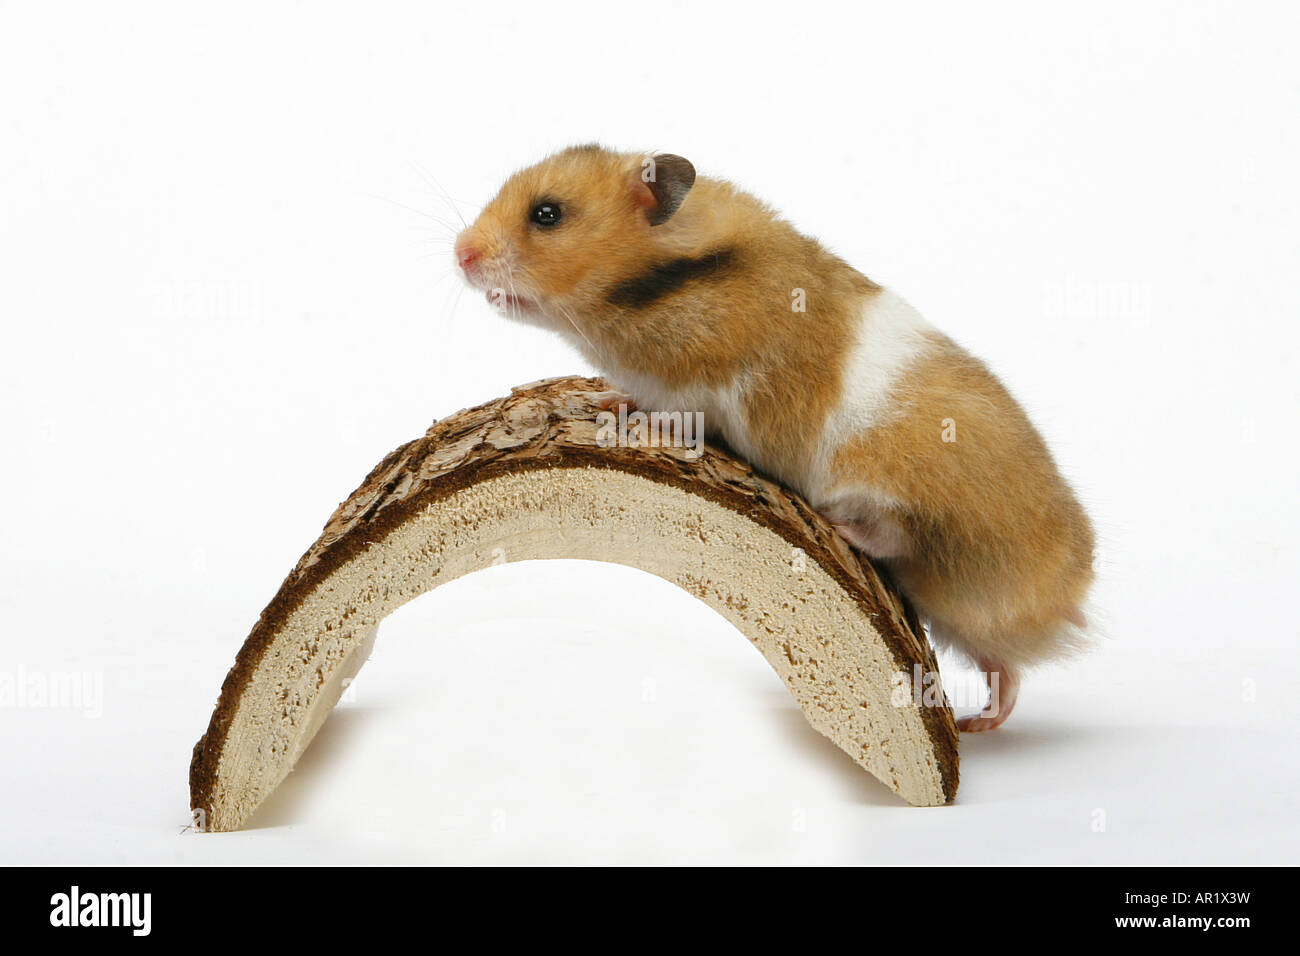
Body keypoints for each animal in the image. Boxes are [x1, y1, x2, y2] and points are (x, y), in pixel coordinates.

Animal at [454, 144, 1095, 731]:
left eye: (547, 214)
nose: (461, 254)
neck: (653, 287)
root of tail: (1067, 587)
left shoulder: (707, 387)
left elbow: (683, 414)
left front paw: (640, 422)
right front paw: (608, 401)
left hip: (901, 494)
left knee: (896, 537)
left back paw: (845, 531)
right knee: (1004, 672)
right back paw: (977, 721)